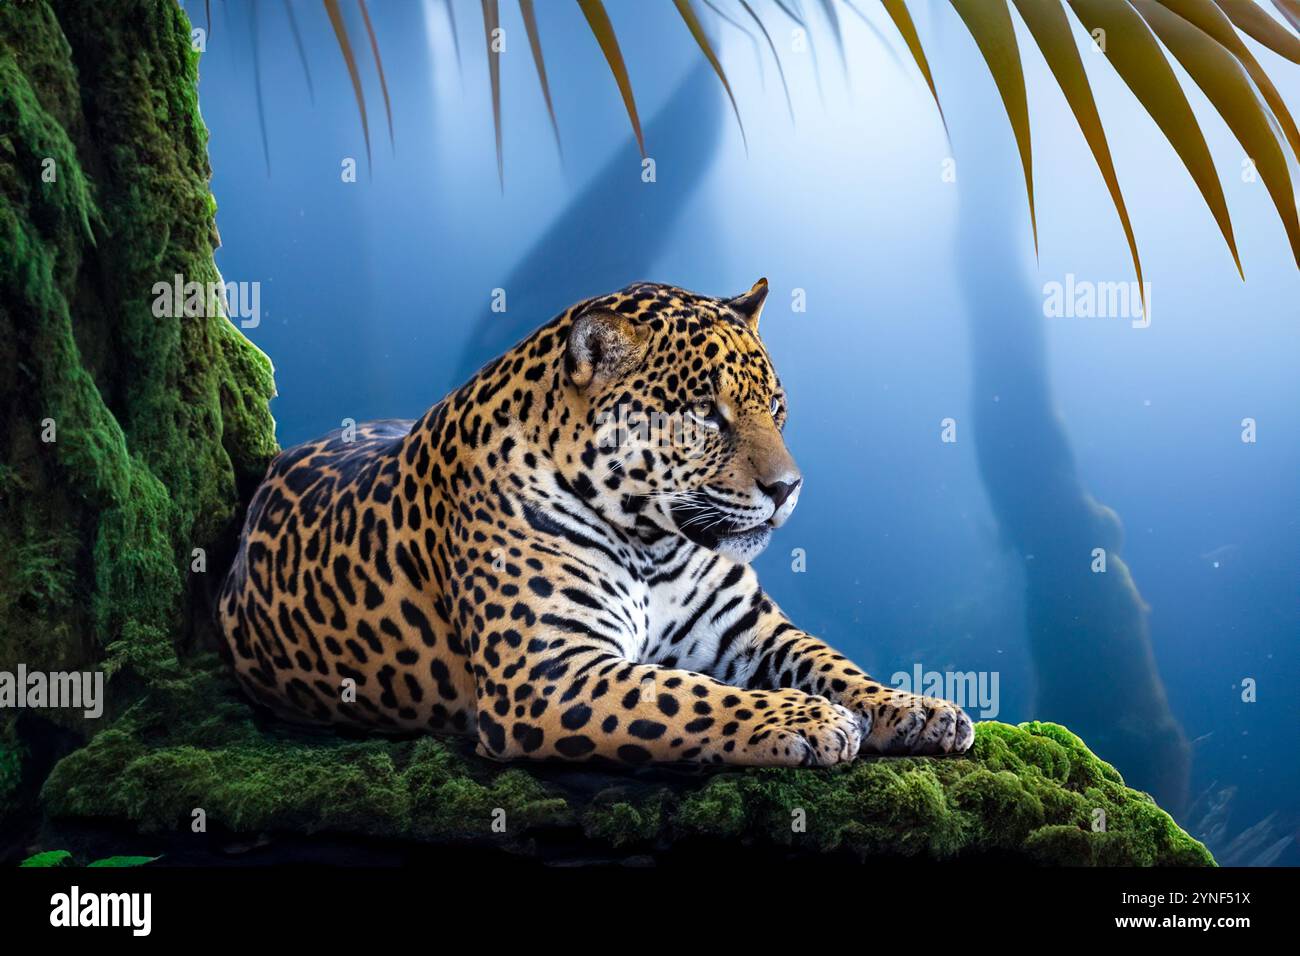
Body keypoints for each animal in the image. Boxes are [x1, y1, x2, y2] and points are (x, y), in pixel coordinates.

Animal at [218, 279, 975, 766]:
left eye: (778, 409)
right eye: (706, 415)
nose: (788, 488)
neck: (653, 543)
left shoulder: (749, 630)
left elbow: (831, 661)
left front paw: (916, 708)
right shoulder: (548, 674)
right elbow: (691, 697)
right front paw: (808, 717)